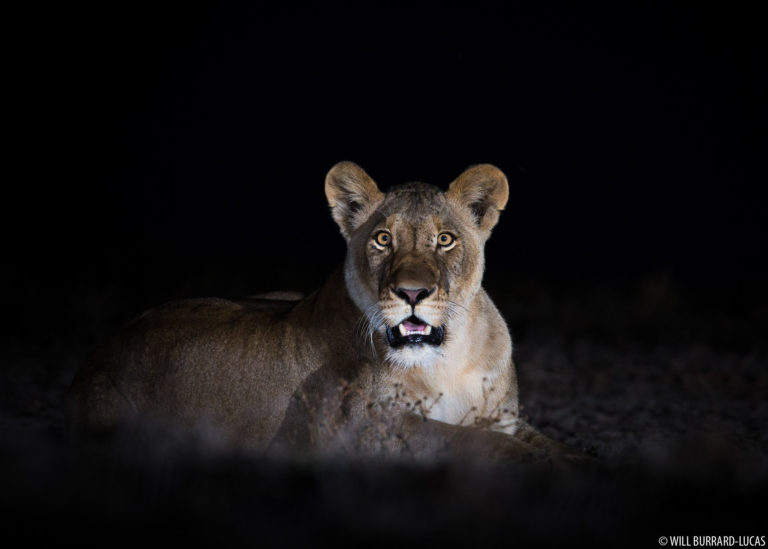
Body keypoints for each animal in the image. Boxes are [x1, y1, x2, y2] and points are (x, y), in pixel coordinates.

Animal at [68, 162, 580, 462]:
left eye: (445, 239)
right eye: (383, 239)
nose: (412, 292)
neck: (446, 360)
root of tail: (98, 355)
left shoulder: (506, 417)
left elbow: (549, 443)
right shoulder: (361, 430)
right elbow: (473, 442)